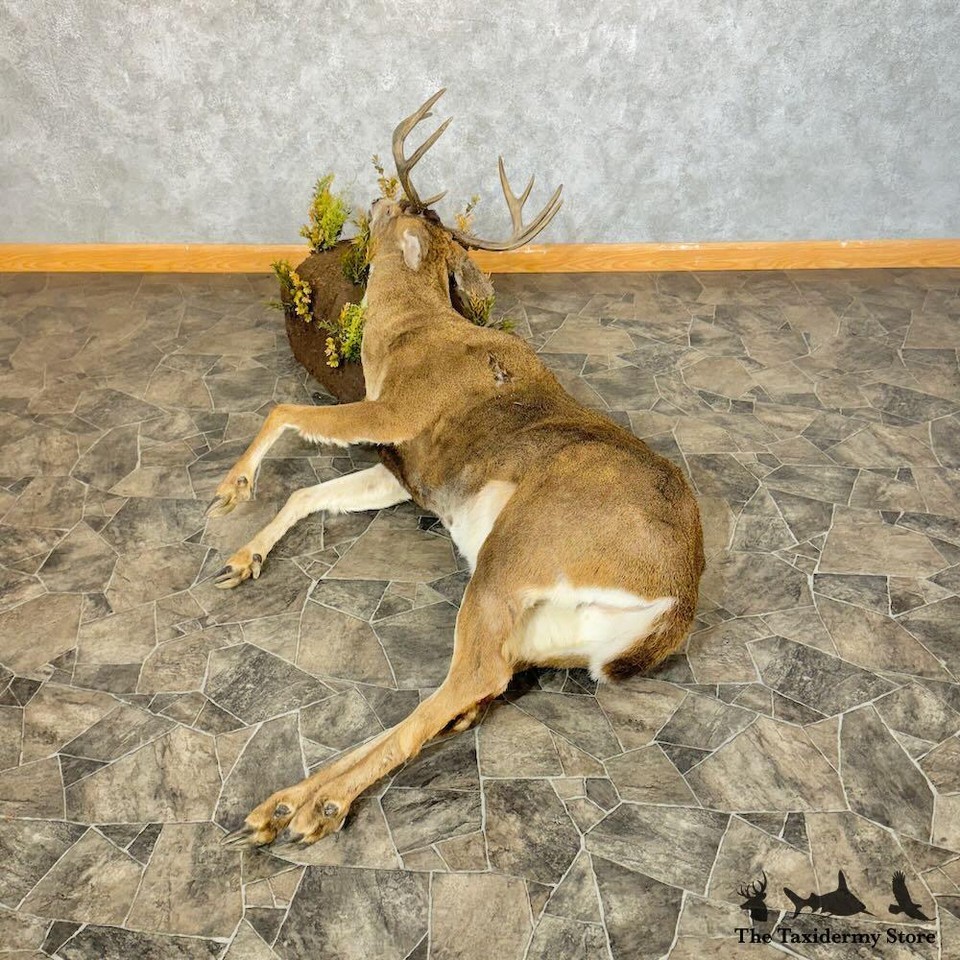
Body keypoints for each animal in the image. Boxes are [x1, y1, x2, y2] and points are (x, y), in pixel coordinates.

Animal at [216, 89, 704, 848]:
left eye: (401, 209)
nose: (375, 201)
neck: (407, 331)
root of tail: (674, 604)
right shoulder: (403, 474)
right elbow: (309, 494)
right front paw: (244, 558)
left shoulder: (393, 412)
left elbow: (283, 409)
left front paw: (229, 491)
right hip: (545, 631)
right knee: (474, 690)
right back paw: (292, 804)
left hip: (515, 553)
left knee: (471, 675)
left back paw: (311, 805)